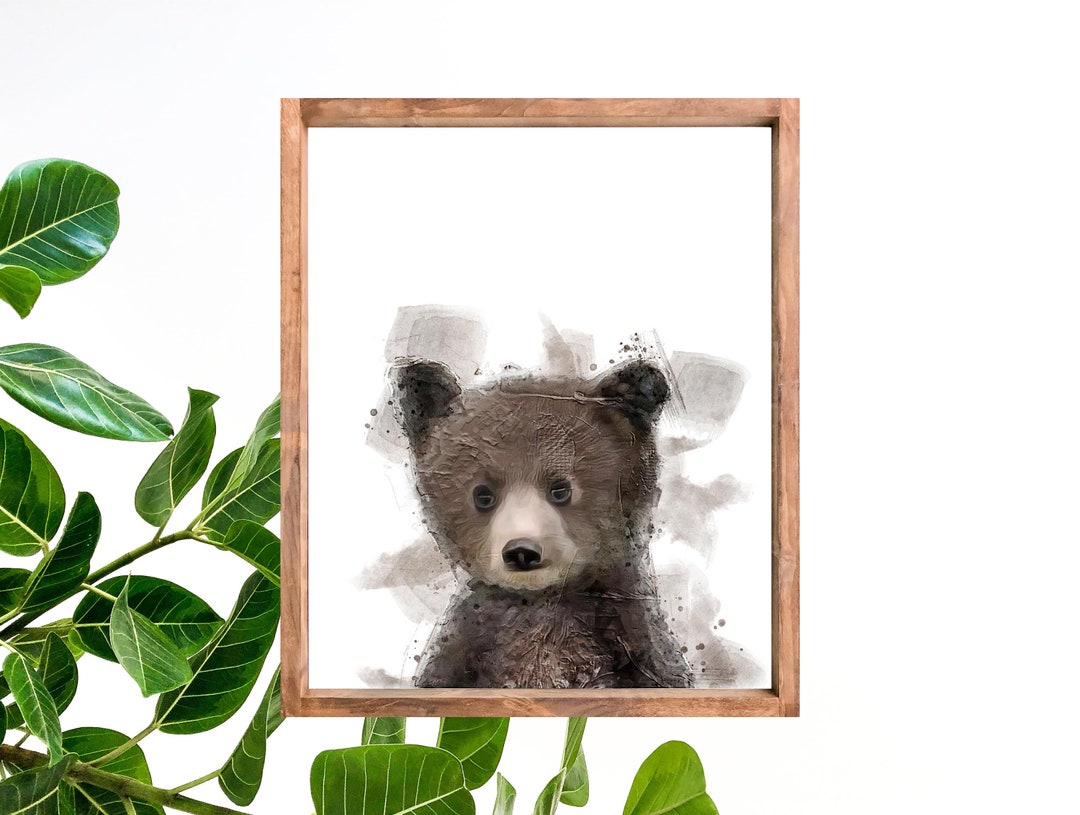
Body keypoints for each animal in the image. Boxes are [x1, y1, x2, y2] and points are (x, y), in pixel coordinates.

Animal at [392, 356, 694, 689]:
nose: (522, 551)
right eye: (483, 495)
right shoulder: (470, 638)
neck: (543, 600)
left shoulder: (629, 635)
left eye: (560, 489)